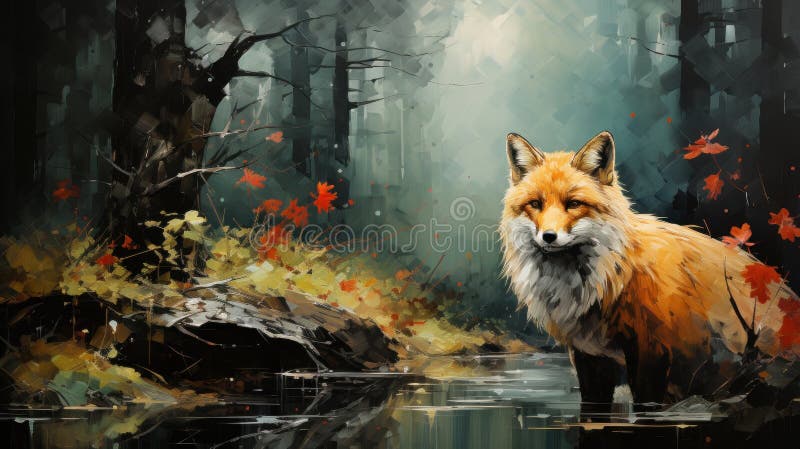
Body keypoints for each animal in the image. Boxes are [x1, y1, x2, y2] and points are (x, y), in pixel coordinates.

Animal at [499, 130, 798, 408]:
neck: (611, 278)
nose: (549, 236)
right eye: (535, 204)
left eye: (573, 204)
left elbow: (646, 404)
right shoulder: (590, 355)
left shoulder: (651, 350)